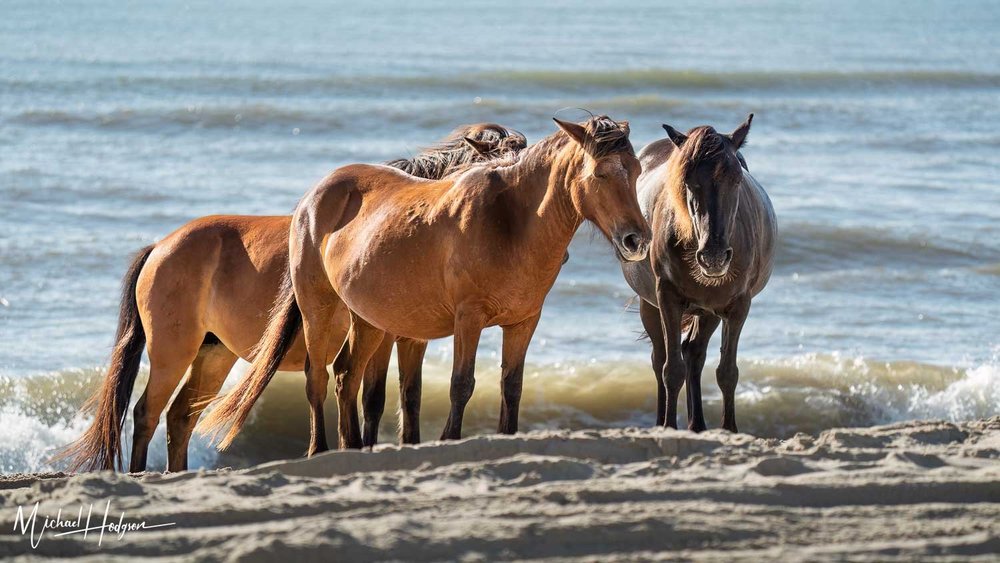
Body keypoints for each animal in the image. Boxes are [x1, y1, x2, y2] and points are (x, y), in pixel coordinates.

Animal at [55, 123, 527, 473]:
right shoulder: (382, 336)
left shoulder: (411, 339)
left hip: (214, 354)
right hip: (173, 350)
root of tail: (160, 247)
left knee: (180, 416)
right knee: (146, 413)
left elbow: (407, 396)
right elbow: (370, 396)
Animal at [198, 115, 652, 453]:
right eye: (601, 173)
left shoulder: (523, 323)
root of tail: (316, 193)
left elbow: (511, 386)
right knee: (317, 377)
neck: (509, 222)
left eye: (635, 171)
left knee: (347, 374)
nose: (637, 239)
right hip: (319, 309)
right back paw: (319, 450)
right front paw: (450, 439)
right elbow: (460, 384)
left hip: (368, 319)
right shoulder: (468, 320)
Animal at [620, 114, 776, 433]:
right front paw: (669, 427)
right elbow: (671, 370)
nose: (714, 256)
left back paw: (698, 425)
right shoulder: (666, 297)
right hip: (649, 304)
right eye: (688, 181)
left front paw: (730, 430)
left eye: (736, 179)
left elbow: (727, 372)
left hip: (709, 312)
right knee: (661, 357)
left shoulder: (737, 306)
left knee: (693, 353)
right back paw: (664, 422)